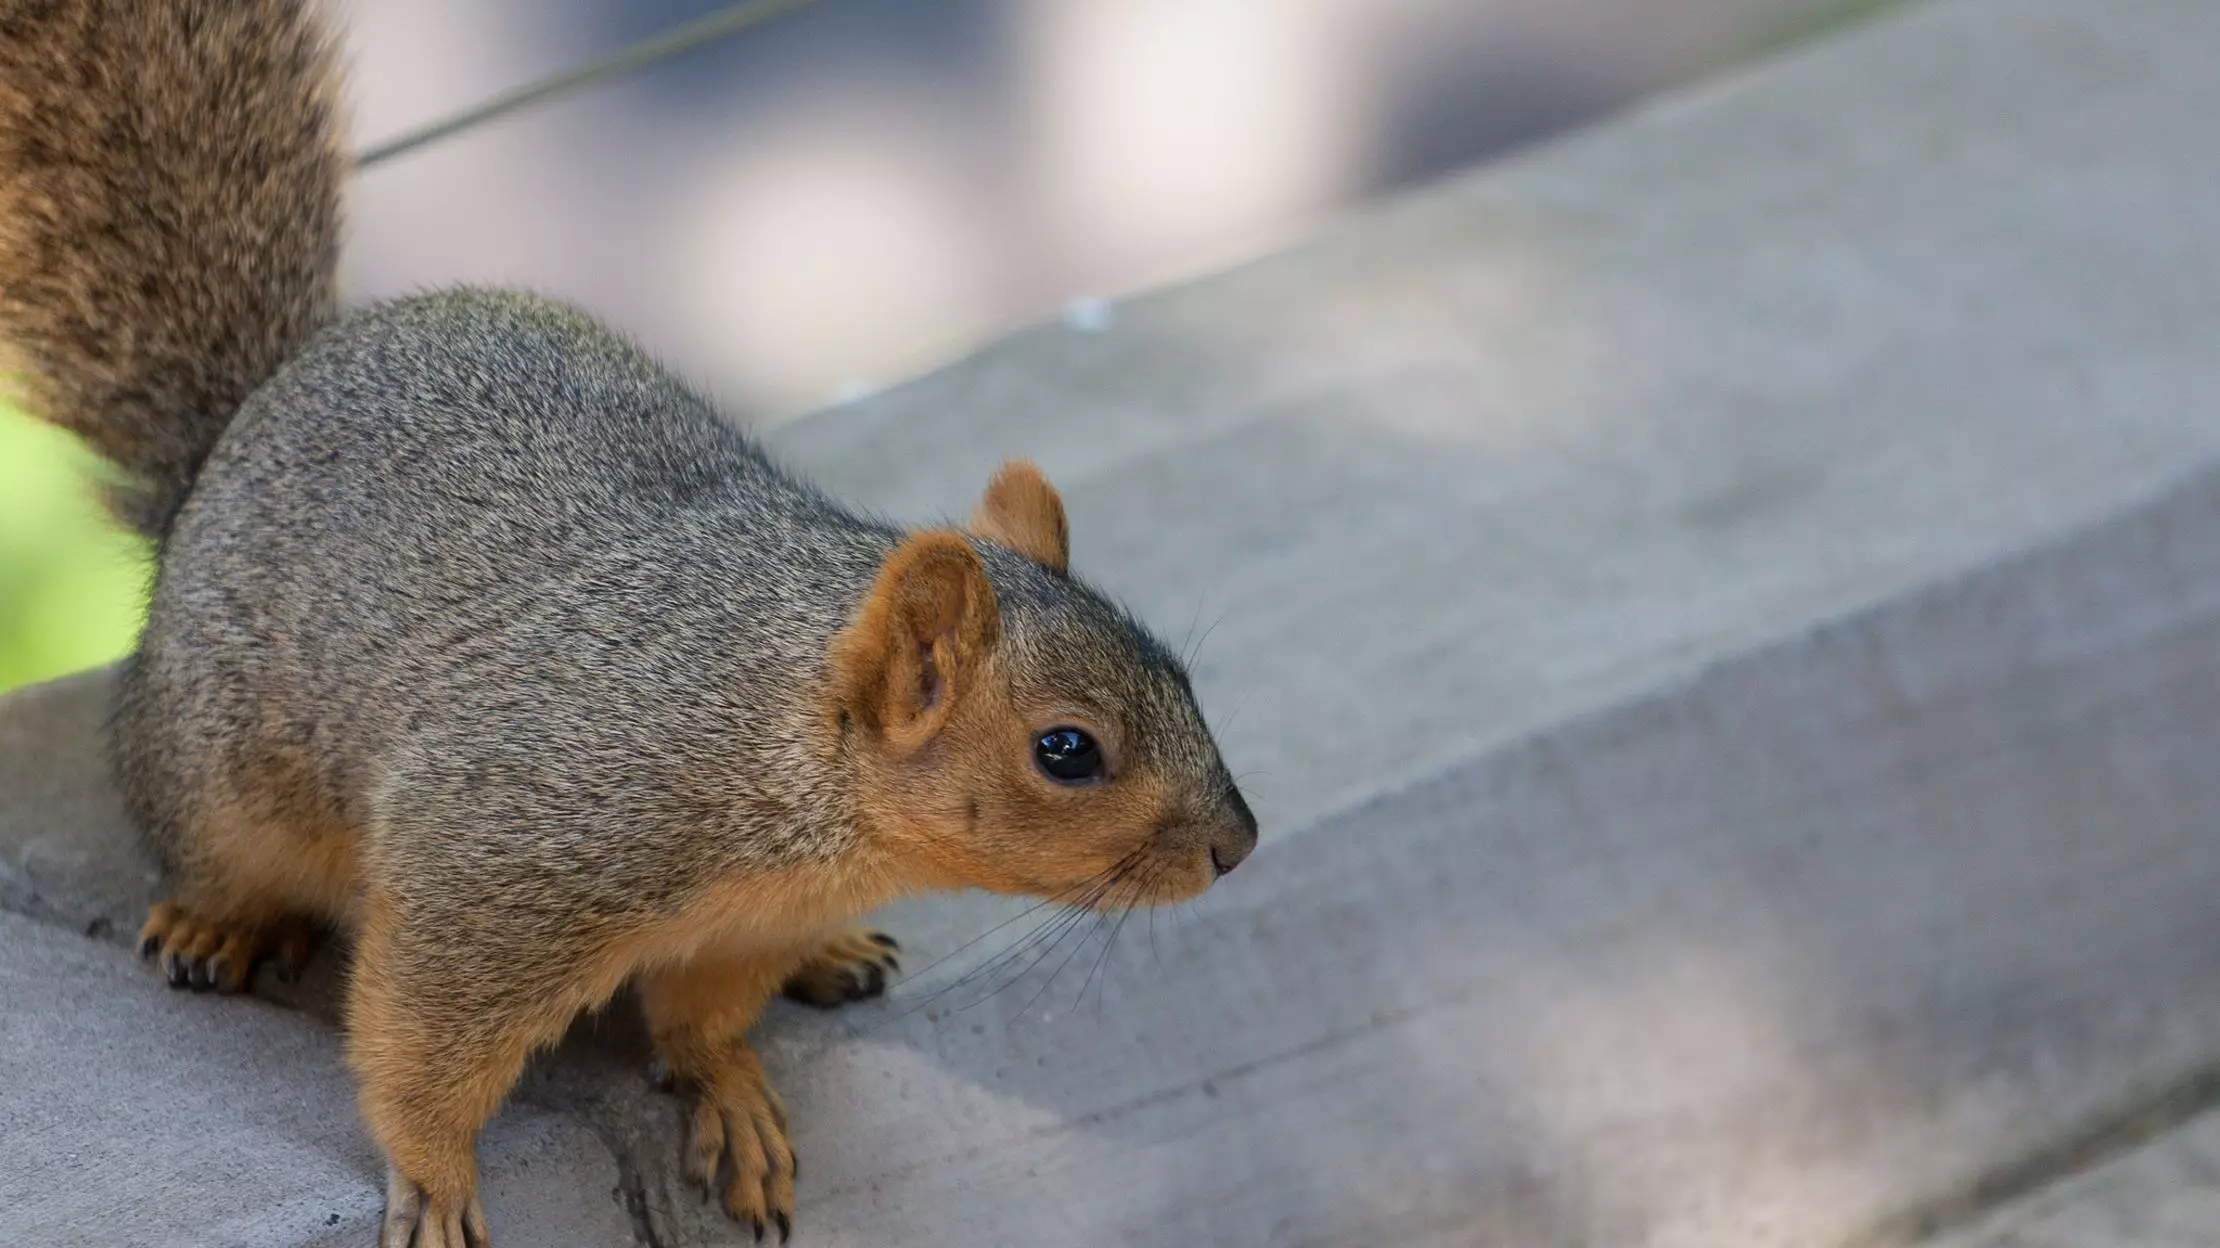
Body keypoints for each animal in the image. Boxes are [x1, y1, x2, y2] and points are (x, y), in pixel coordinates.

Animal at [0, 4, 1252, 1234]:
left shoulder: (744, 928)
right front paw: (435, 1181)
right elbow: (423, 1045)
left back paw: (834, 958)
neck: (797, 779)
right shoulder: (499, 857)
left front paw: (730, 1091)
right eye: (1067, 750)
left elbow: (700, 1020)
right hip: (219, 780)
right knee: (218, 858)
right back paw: (216, 925)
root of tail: (232, 440)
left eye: (1184, 679)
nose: (1235, 844)